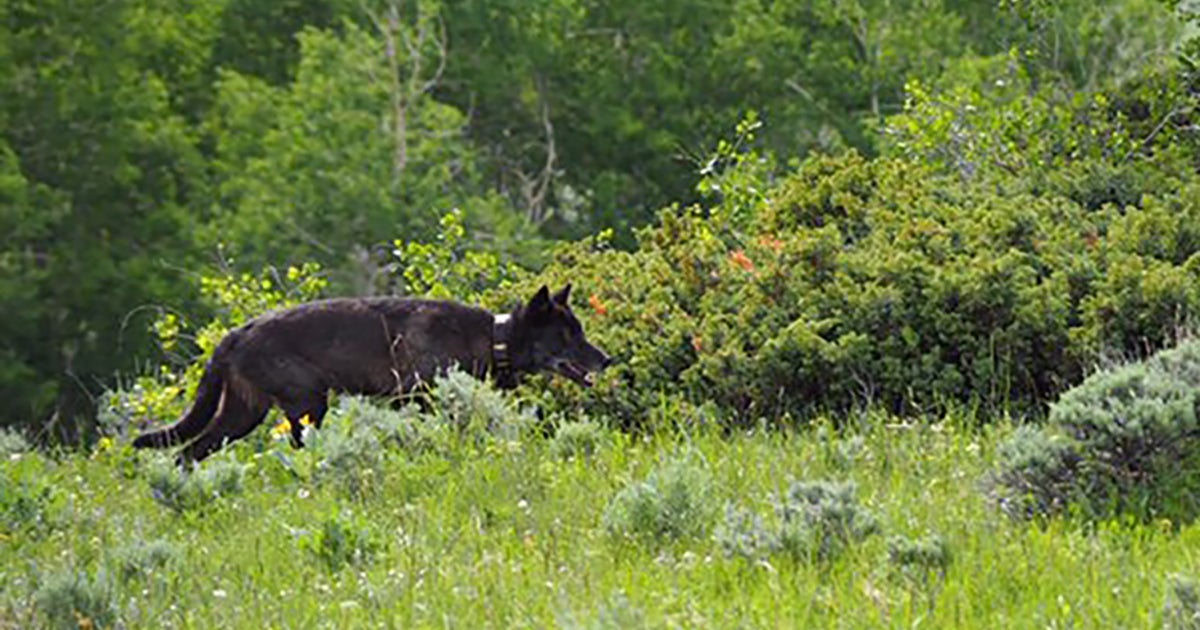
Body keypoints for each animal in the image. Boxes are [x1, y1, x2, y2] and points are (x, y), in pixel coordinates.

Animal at [132, 284, 610, 463]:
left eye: (580, 331)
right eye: (568, 335)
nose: (607, 360)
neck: (492, 336)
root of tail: (233, 334)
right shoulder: (414, 399)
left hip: (241, 415)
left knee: (186, 453)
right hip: (308, 403)